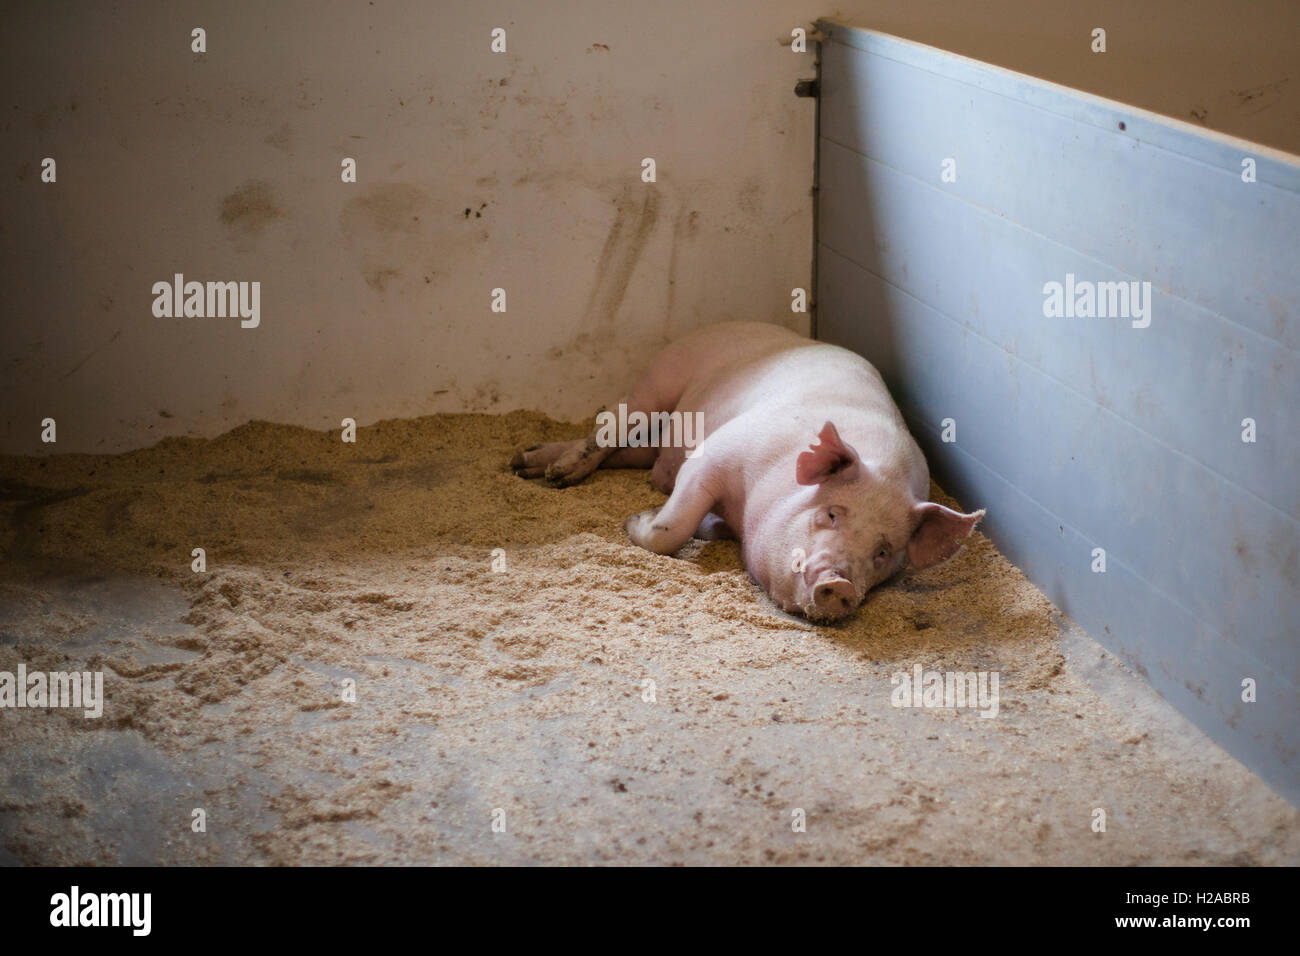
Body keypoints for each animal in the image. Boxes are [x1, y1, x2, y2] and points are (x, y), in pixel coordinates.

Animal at [509, 322, 984, 621]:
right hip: (659, 378)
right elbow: (673, 527)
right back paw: (547, 472)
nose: (841, 584)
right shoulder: (715, 454)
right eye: (830, 513)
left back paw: (526, 461)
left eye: (883, 551)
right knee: (613, 425)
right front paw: (635, 520)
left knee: (633, 452)